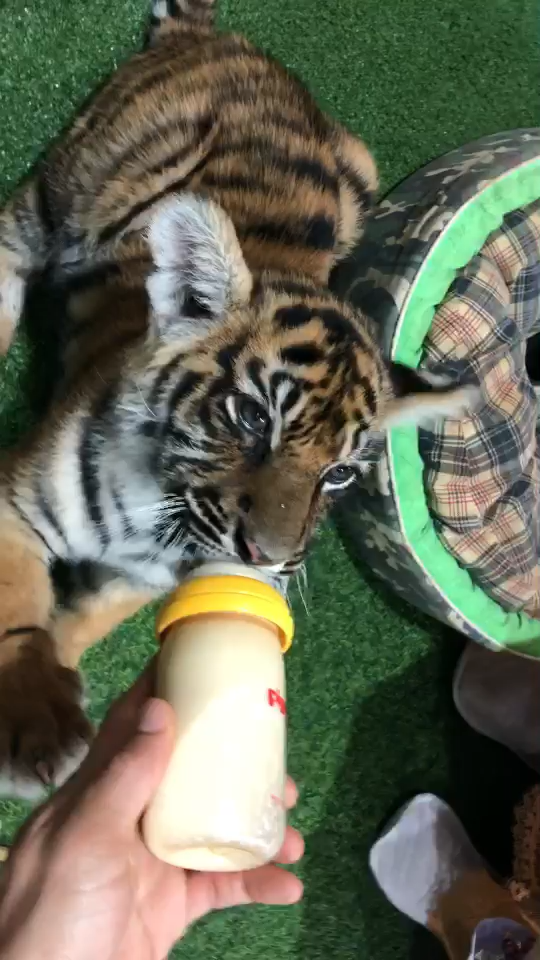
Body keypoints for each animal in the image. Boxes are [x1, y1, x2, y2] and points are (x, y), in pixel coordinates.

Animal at [0, 0, 474, 797]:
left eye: (338, 473)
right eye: (253, 416)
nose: (270, 561)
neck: (153, 519)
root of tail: (225, 39)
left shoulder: (135, 580)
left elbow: (75, 627)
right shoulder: (15, 503)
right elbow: (15, 610)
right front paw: (39, 729)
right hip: (62, 192)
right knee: (7, 247)